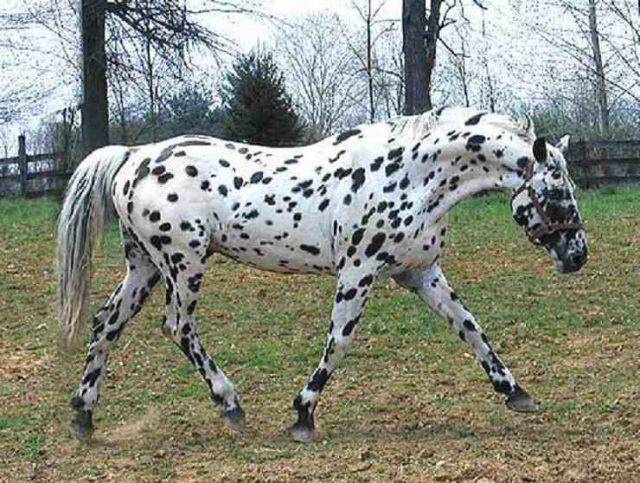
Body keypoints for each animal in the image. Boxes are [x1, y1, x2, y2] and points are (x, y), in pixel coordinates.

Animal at [57, 106, 587, 443]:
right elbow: (340, 341)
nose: (577, 256)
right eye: (557, 192)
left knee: (106, 323)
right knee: (177, 327)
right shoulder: (358, 271)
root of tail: (133, 157)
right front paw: (303, 415)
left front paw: (516, 392)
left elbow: (470, 327)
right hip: (183, 263)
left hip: (144, 265)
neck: (411, 176)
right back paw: (230, 404)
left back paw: (84, 416)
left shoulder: (421, 273)